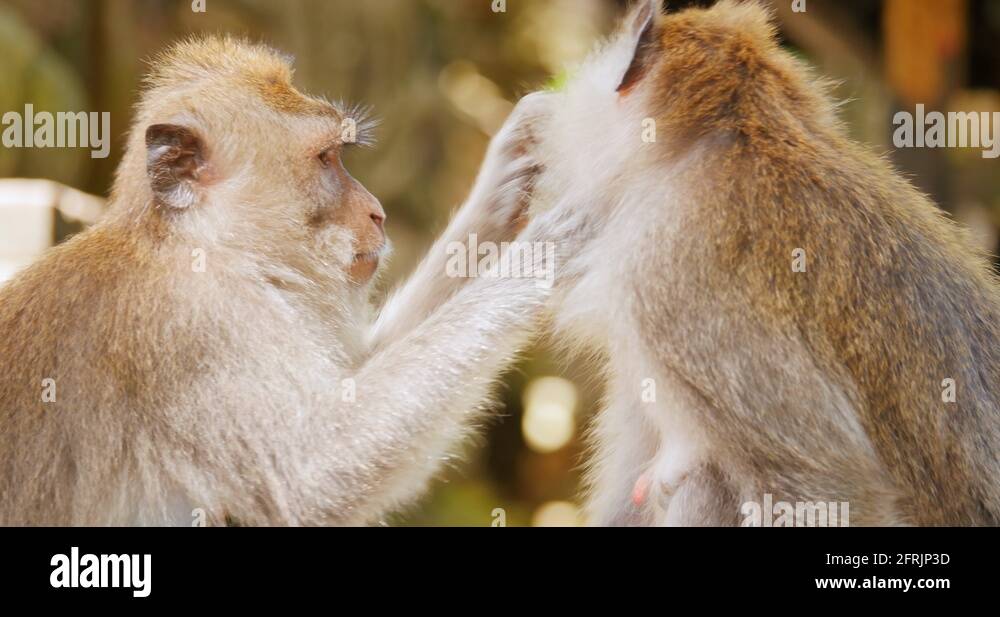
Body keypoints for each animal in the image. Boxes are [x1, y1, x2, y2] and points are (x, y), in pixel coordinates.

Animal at [0, 36, 559, 526]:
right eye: (326, 159)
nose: (376, 212)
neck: (204, 249)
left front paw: (511, 166)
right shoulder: (201, 328)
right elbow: (315, 477)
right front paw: (553, 239)